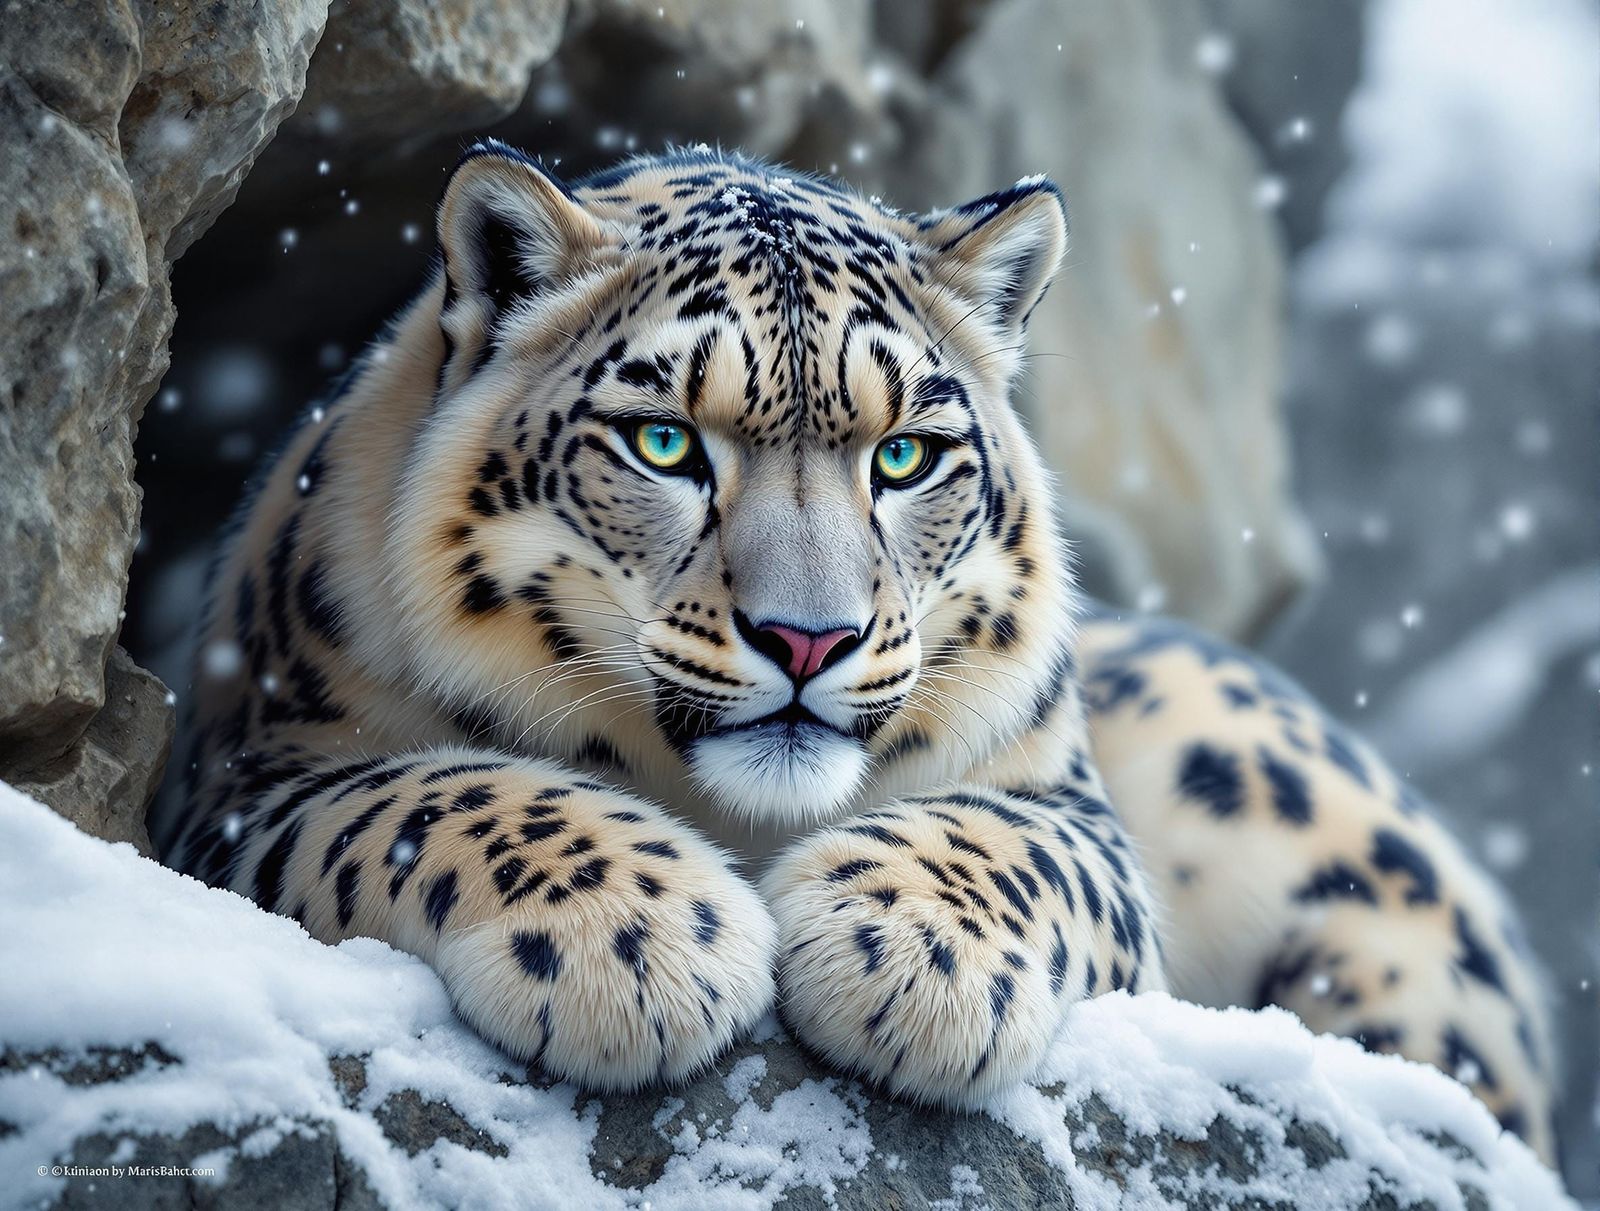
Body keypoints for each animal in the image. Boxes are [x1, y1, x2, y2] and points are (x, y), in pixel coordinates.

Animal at [153, 141, 1559, 1165]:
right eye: (665, 441)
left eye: (905, 455)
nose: (807, 635)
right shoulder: (241, 788)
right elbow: (434, 793)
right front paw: (635, 943)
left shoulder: (1070, 806)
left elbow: (1002, 841)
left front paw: (909, 963)